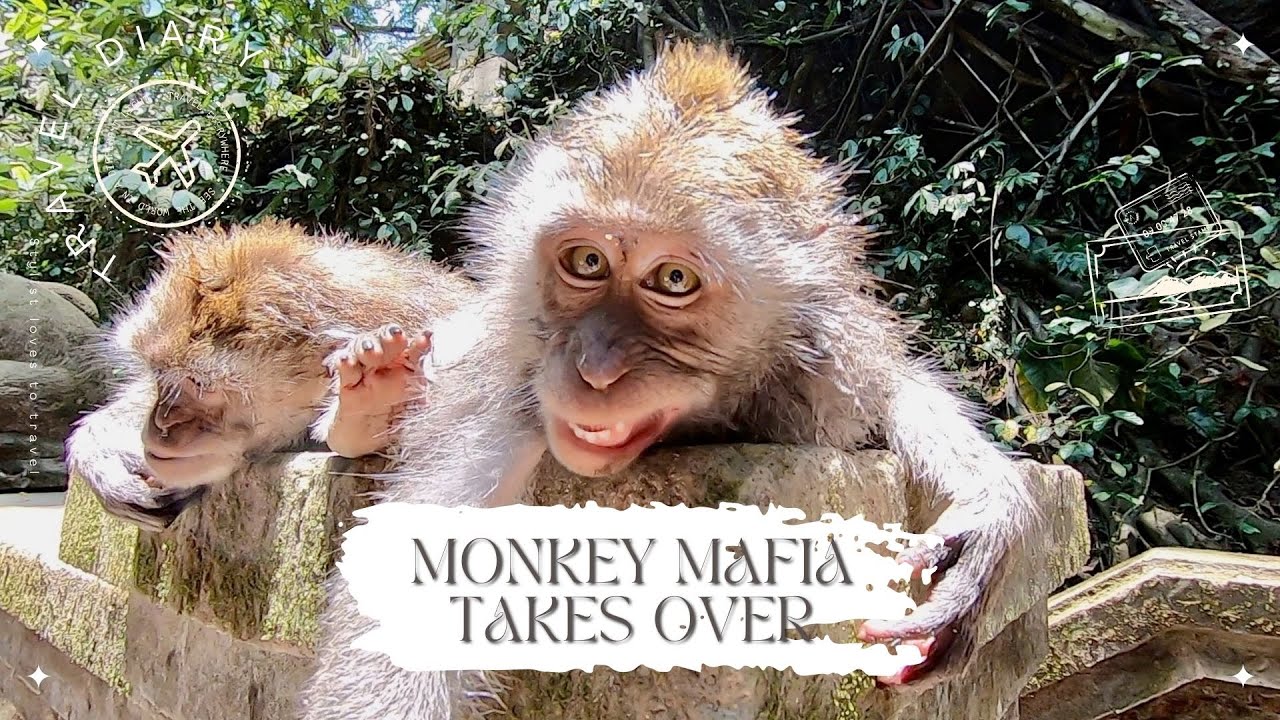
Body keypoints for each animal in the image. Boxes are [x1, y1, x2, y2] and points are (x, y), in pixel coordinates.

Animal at [297, 41, 1039, 719]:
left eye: (674, 279)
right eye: (587, 261)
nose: (594, 369)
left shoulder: (827, 368)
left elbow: (889, 386)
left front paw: (991, 508)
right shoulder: (499, 399)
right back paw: (370, 396)